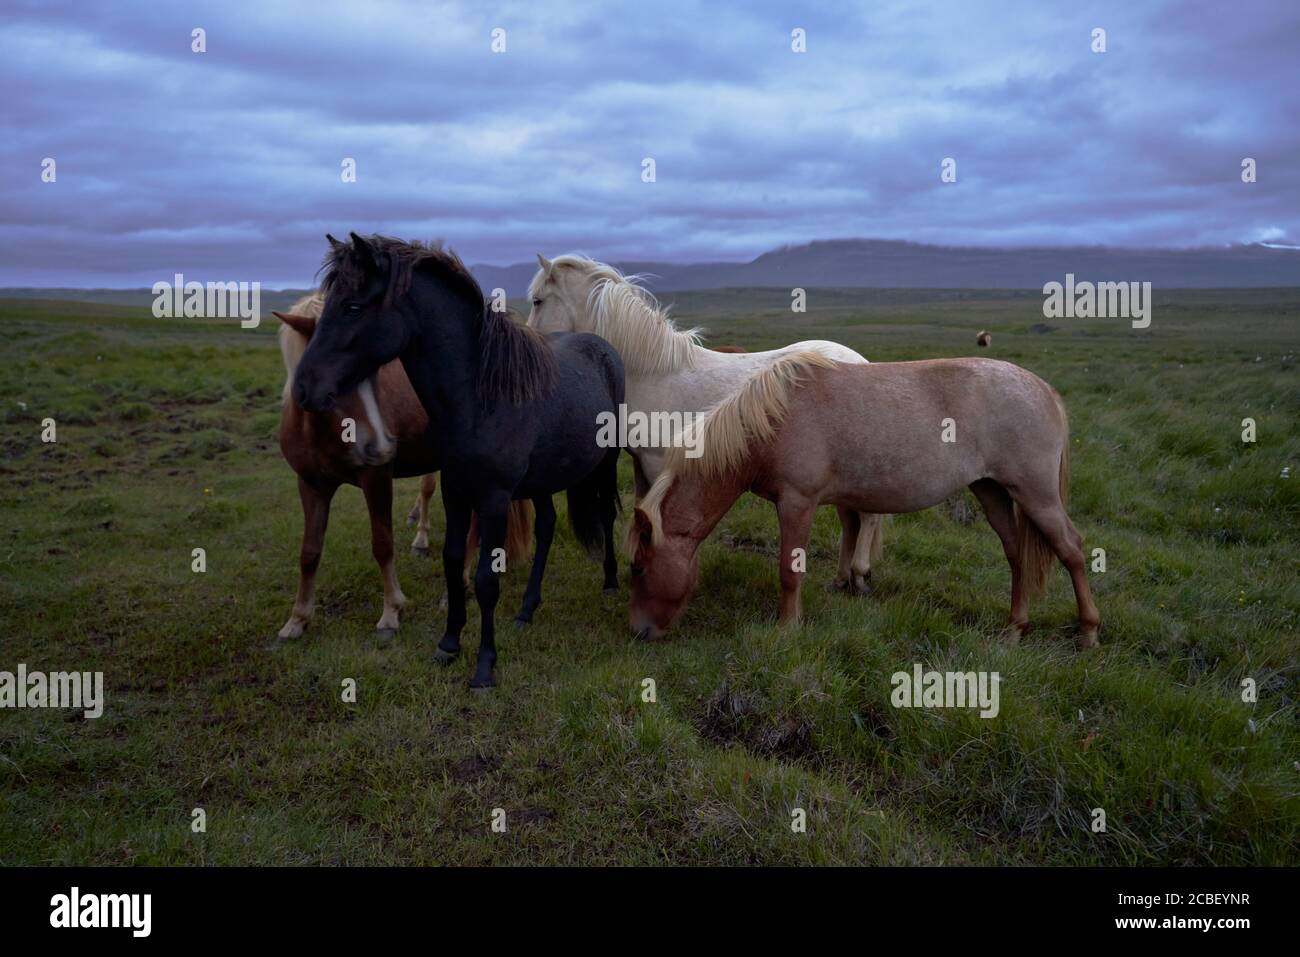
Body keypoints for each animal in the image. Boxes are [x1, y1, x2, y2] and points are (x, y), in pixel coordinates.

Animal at [275, 293, 531, 642]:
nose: (381, 444)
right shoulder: (312, 485)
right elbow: (309, 552)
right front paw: (297, 619)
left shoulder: (377, 478)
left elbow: (383, 544)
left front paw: (391, 612)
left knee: (475, 526)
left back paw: (455, 588)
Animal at [527, 254, 885, 596]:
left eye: (537, 301)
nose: (534, 350)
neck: (652, 372)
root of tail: (861, 362)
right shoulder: (641, 463)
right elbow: (642, 510)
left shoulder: (658, 462)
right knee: (850, 519)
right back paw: (841, 580)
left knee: (867, 516)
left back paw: (860, 576)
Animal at [626, 352, 1101, 648]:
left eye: (639, 568)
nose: (638, 631)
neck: (771, 420)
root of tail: (1042, 389)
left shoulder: (797, 503)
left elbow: (789, 571)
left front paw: (787, 629)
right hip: (993, 492)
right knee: (1017, 554)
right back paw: (1014, 628)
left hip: (1037, 496)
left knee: (1072, 551)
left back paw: (1088, 632)